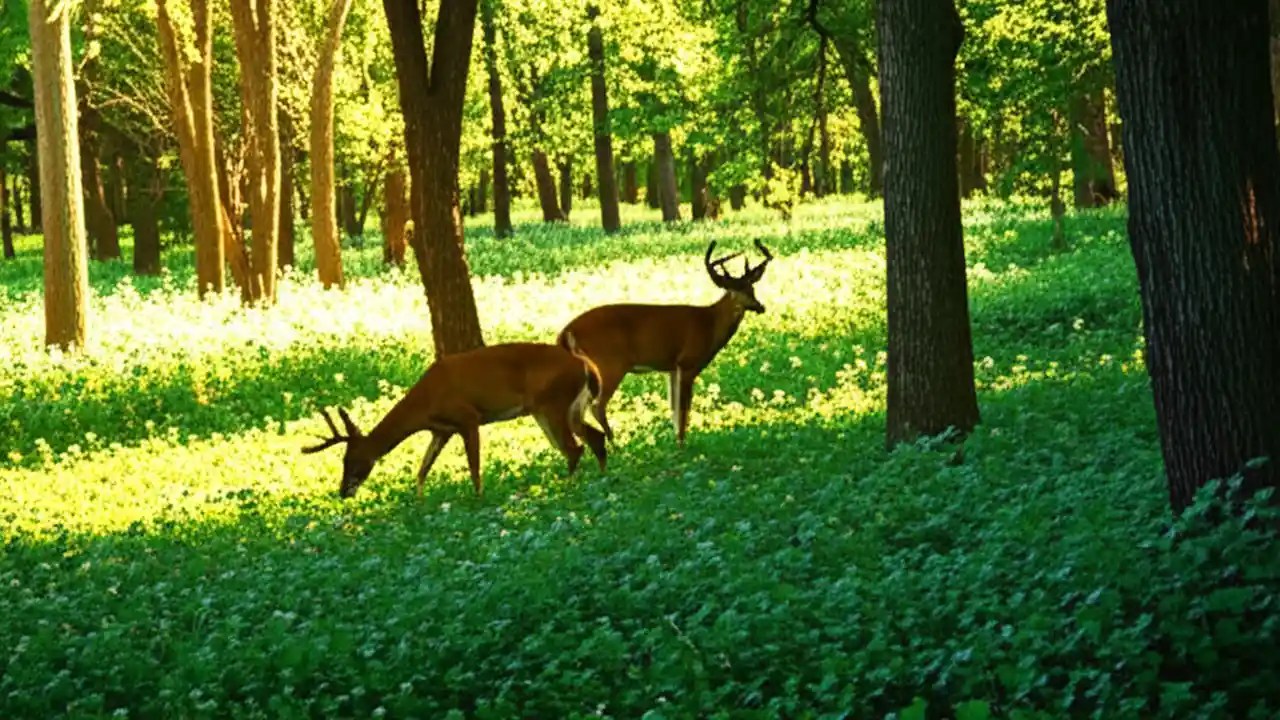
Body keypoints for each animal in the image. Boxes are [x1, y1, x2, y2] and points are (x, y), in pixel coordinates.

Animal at [301, 337, 608, 499]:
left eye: (351, 460)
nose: (343, 491)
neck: (426, 401)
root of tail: (586, 365)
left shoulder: (468, 417)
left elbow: (474, 467)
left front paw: (478, 499)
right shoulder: (442, 430)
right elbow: (422, 469)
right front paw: (419, 504)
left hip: (552, 403)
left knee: (574, 447)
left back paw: (568, 488)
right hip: (567, 407)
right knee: (594, 437)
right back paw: (602, 477)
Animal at [556, 239, 773, 447]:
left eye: (752, 288)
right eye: (733, 291)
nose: (759, 306)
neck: (710, 323)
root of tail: (566, 331)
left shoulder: (672, 368)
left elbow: (674, 408)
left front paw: (676, 440)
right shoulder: (687, 362)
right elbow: (683, 408)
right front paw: (682, 444)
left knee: (575, 412)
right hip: (609, 363)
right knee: (596, 406)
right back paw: (614, 445)